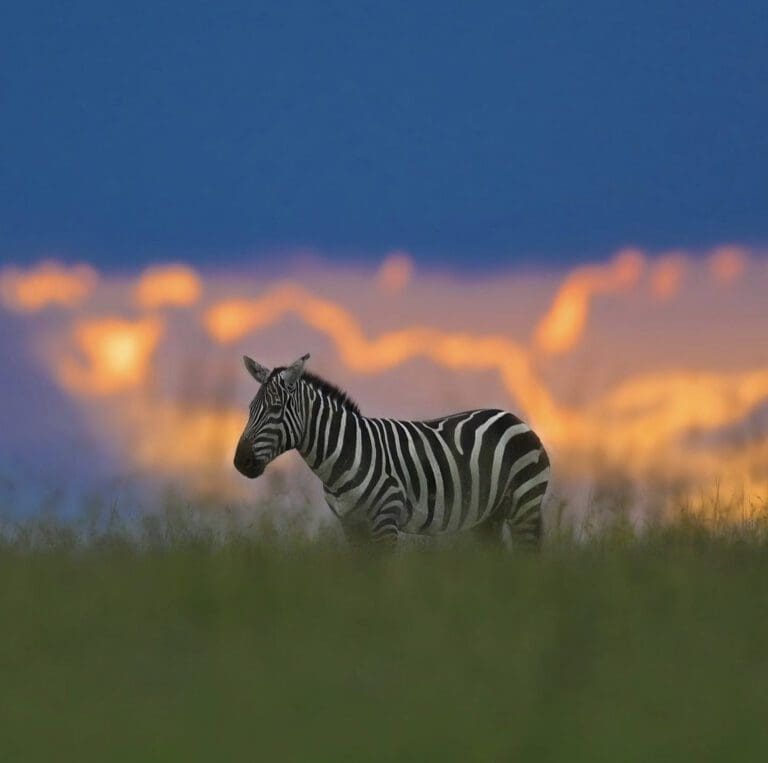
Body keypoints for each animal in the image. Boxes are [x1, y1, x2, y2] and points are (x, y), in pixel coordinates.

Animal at [234, 353, 551, 547]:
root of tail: (514, 418)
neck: (343, 456)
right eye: (250, 408)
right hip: (489, 517)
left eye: (275, 409)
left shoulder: (386, 522)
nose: (240, 462)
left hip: (524, 503)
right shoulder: (352, 526)